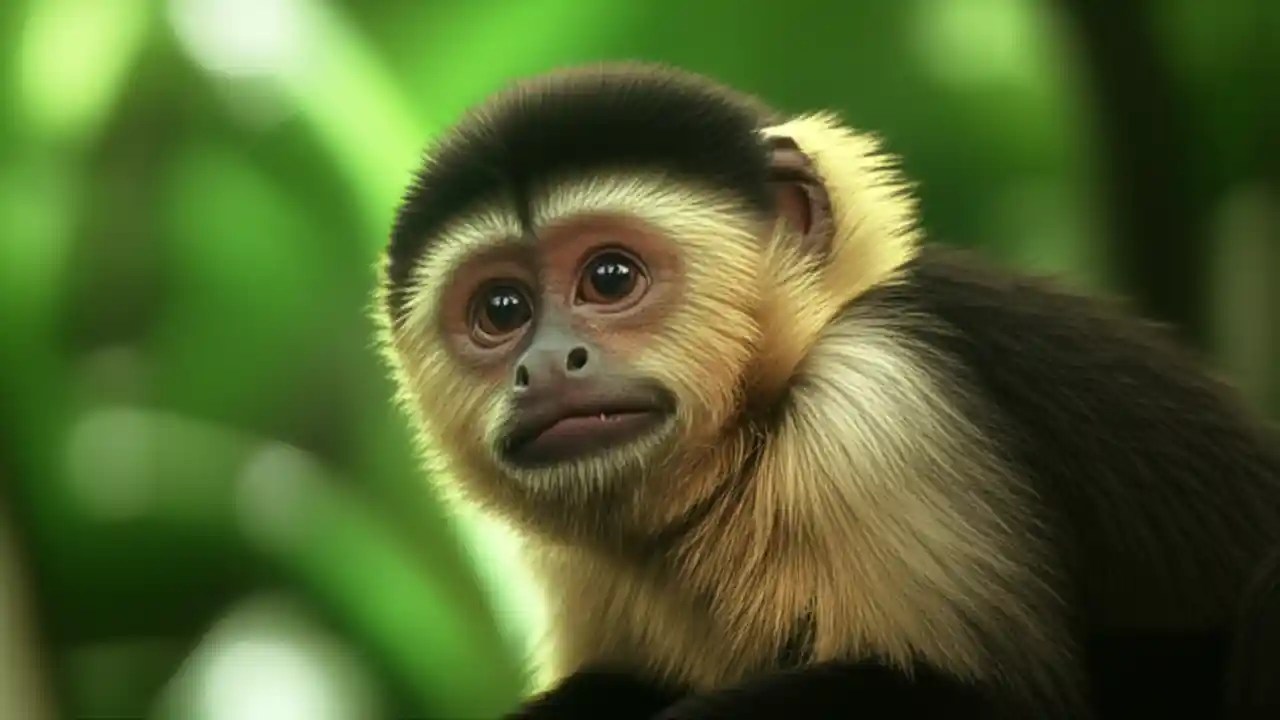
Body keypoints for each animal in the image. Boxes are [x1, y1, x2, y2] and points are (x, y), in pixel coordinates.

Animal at [373, 62, 1280, 719]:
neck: (751, 435)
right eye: (501, 310)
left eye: (610, 277)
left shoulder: (878, 404)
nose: (548, 363)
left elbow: (1004, 701)